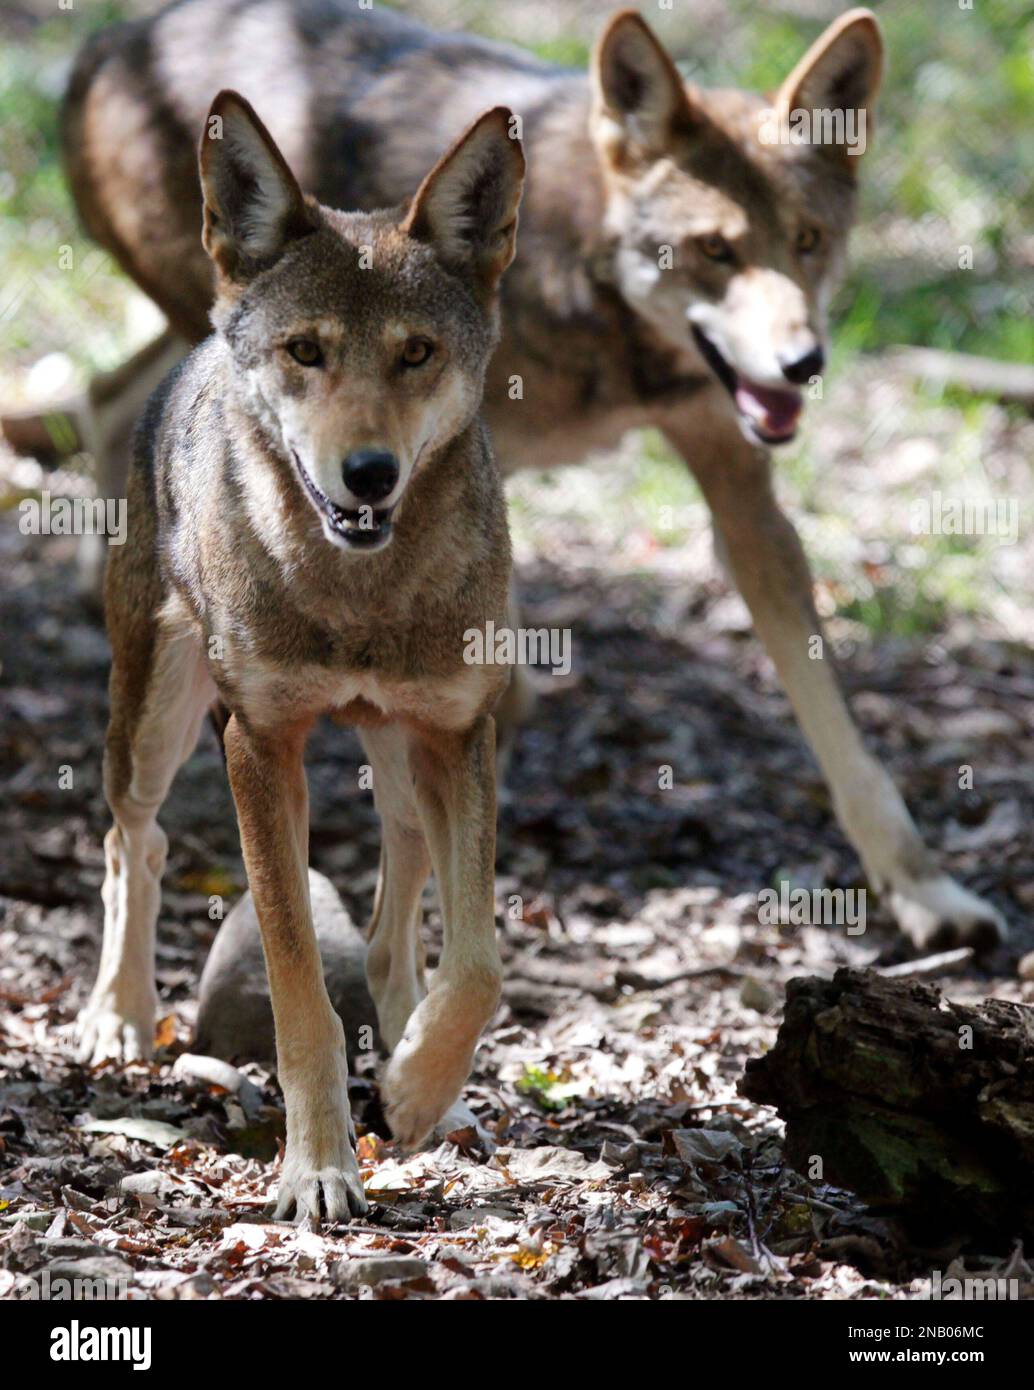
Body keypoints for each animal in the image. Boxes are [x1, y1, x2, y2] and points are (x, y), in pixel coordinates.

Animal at [61, 1, 1003, 947]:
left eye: (808, 242)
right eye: (714, 250)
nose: (801, 364)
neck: (602, 306)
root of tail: (117, 39)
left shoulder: (735, 480)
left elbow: (837, 719)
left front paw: (925, 889)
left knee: (105, 396)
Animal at [78, 88, 525, 1220]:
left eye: (415, 353)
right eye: (307, 352)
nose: (367, 474)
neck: (356, 595)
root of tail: (197, 343)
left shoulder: (463, 732)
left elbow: (477, 964)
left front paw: (414, 1089)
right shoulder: (258, 743)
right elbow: (297, 987)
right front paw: (318, 1169)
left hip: (400, 760)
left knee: (396, 925)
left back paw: (431, 1088)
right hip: (155, 723)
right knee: (133, 843)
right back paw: (117, 1015)